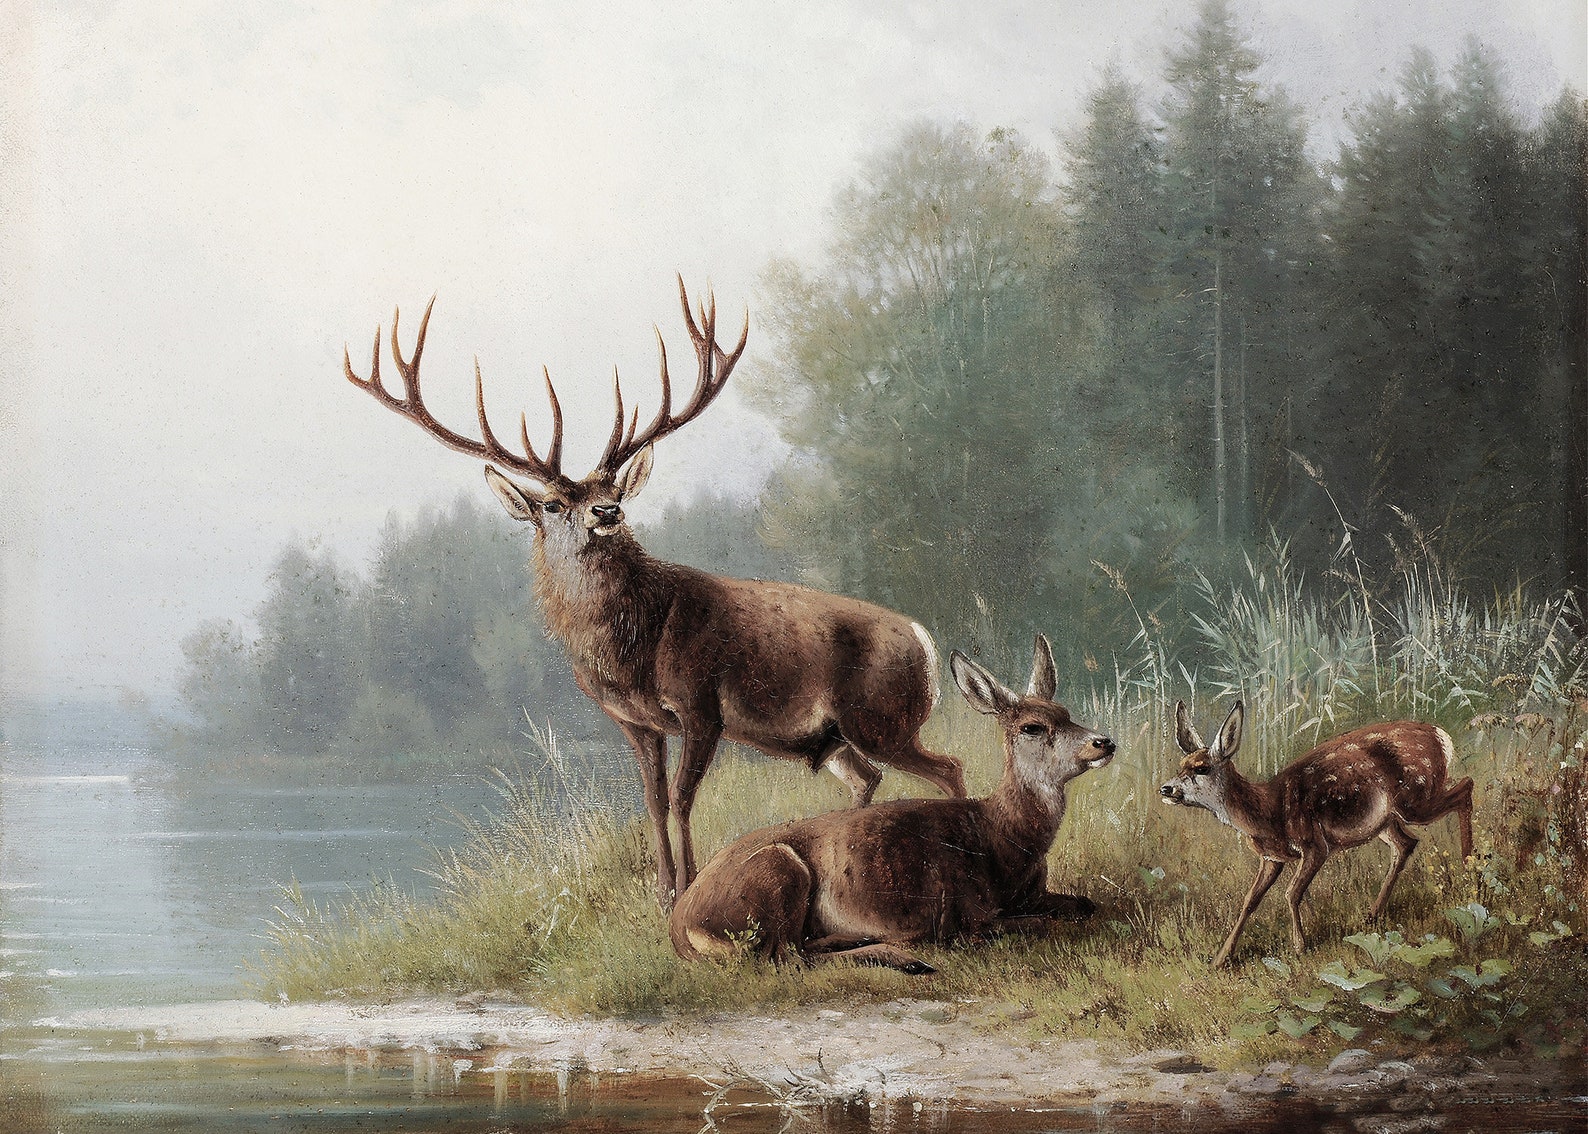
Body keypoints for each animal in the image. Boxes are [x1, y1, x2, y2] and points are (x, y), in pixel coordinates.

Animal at [343, 277, 966, 907]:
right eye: (553, 504)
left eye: (615, 487)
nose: (606, 510)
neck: (630, 650)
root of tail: (926, 643)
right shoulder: (635, 722)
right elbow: (654, 800)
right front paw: (664, 888)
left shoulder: (700, 704)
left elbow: (685, 799)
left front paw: (687, 887)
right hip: (838, 739)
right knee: (874, 777)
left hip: (879, 716)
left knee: (950, 767)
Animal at [669, 635, 1116, 973]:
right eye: (1033, 727)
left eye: (1066, 712)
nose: (1104, 742)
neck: (1002, 838)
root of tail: (679, 924)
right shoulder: (968, 915)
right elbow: (1040, 923)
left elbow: (1084, 904)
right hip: (779, 872)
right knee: (784, 956)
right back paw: (903, 956)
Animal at [1160, 700, 1475, 968]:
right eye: (1181, 766)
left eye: (1202, 768)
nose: (1166, 788)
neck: (1269, 811)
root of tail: (1441, 735)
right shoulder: (1271, 858)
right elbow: (1249, 901)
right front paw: (1221, 958)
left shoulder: (1314, 844)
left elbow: (1291, 893)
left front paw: (1300, 945)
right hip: (1385, 821)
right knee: (1407, 843)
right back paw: (1372, 913)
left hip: (1415, 797)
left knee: (1466, 787)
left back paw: (1470, 870)